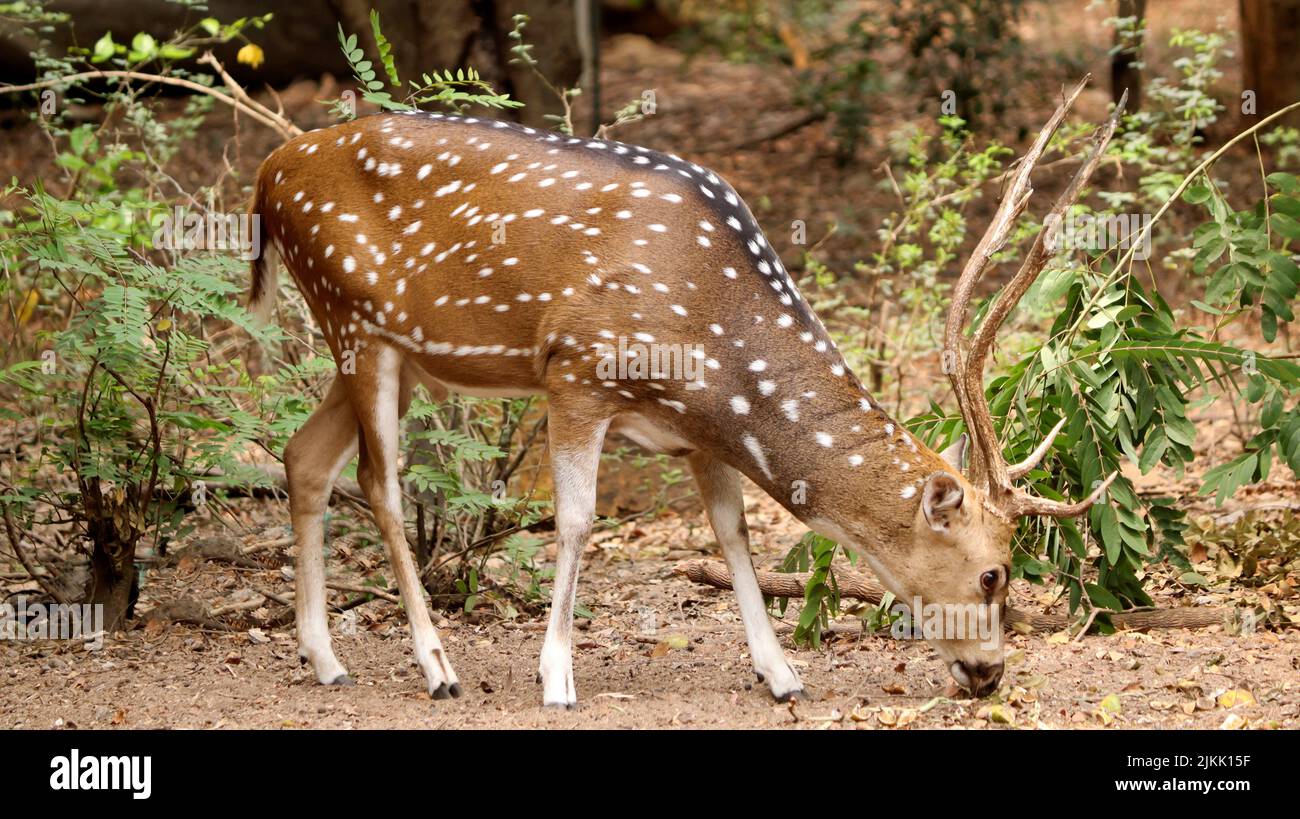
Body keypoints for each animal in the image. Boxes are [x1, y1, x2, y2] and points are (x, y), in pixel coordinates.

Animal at [247, 77, 1122, 708]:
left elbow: (734, 534)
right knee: (379, 482)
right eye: (993, 573)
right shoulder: (577, 370)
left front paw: (781, 673)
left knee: (304, 456)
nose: (990, 674)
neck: (711, 336)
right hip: (352, 318)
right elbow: (577, 521)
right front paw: (557, 677)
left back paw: (324, 658)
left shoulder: (702, 429)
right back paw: (438, 666)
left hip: (383, 350)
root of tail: (266, 176)